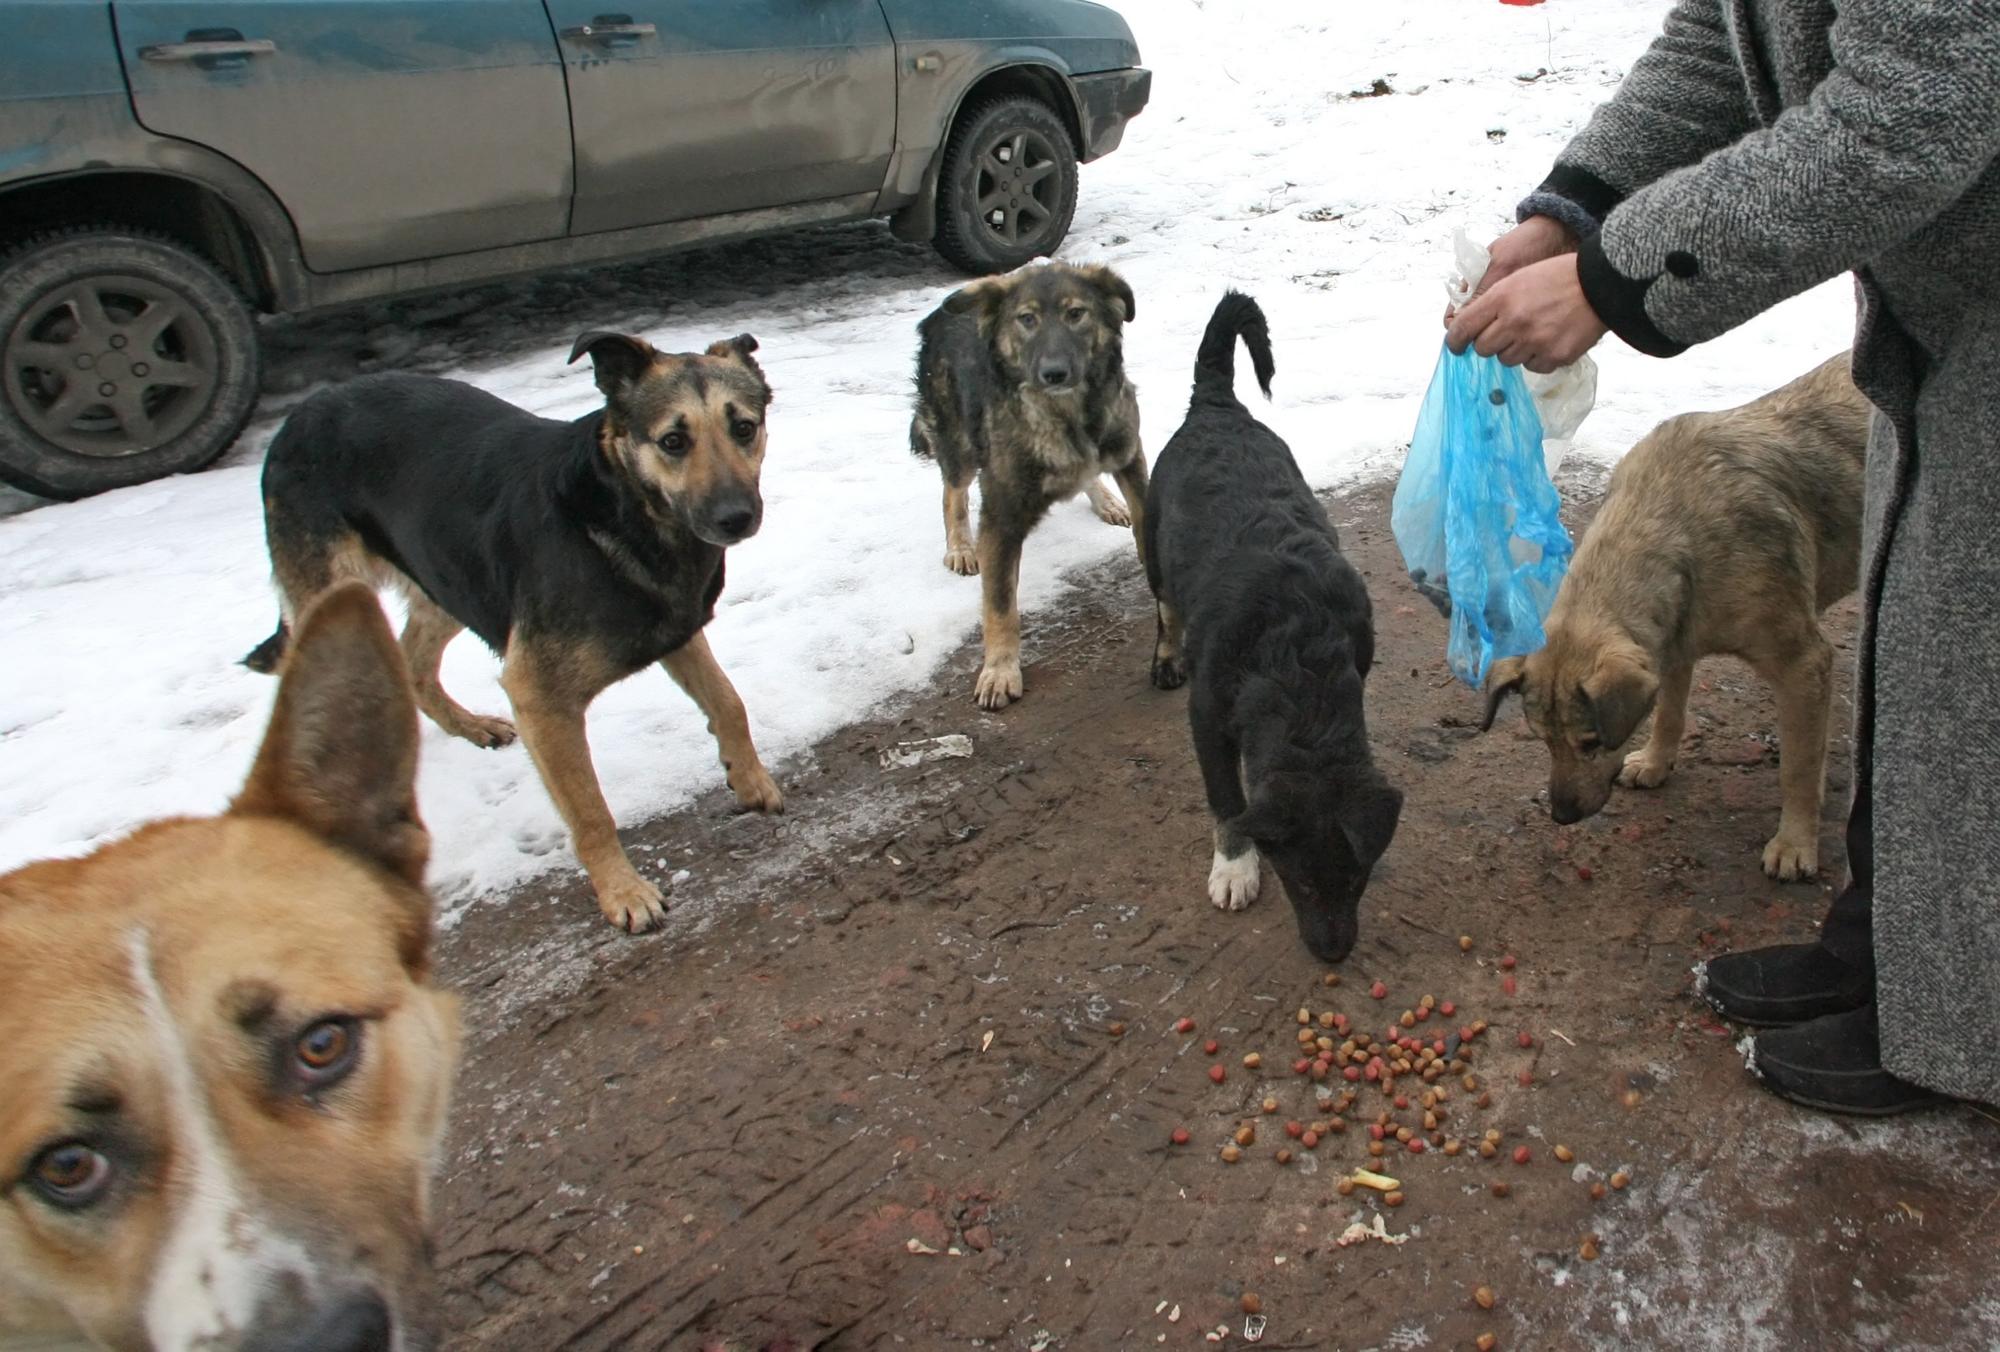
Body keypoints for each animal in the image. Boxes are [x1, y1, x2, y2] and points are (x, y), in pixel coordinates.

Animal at [246, 332, 784, 936]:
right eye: (673, 440)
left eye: (743, 427)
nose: (736, 517)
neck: (620, 510)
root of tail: (301, 413)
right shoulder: (540, 697)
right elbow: (590, 810)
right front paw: (622, 891)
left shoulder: (677, 632)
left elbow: (728, 700)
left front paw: (749, 778)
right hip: (347, 591)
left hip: (446, 577)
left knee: (413, 663)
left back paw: (470, 727)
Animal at [916, 258, 1152, 712]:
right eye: (1027, 320)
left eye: (1076, 314)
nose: (1054, 373)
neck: (1064, 417)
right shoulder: (1001, 517)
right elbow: (1000, 605)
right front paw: (1000, 670)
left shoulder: (1130, 459)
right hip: (960, 443)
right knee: (951, 492)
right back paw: (960, 546)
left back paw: (1105, 501)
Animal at [1144, 294, 1408, 960]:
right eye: (1299, 881)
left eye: (1359, 878)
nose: (1334, 953)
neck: (1297, 651)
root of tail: (1216, 404)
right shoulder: (1207, 718)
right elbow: (1226, 798)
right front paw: (1234, 866)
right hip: (1153, 548)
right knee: (1165, 609)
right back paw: (1166, 656)